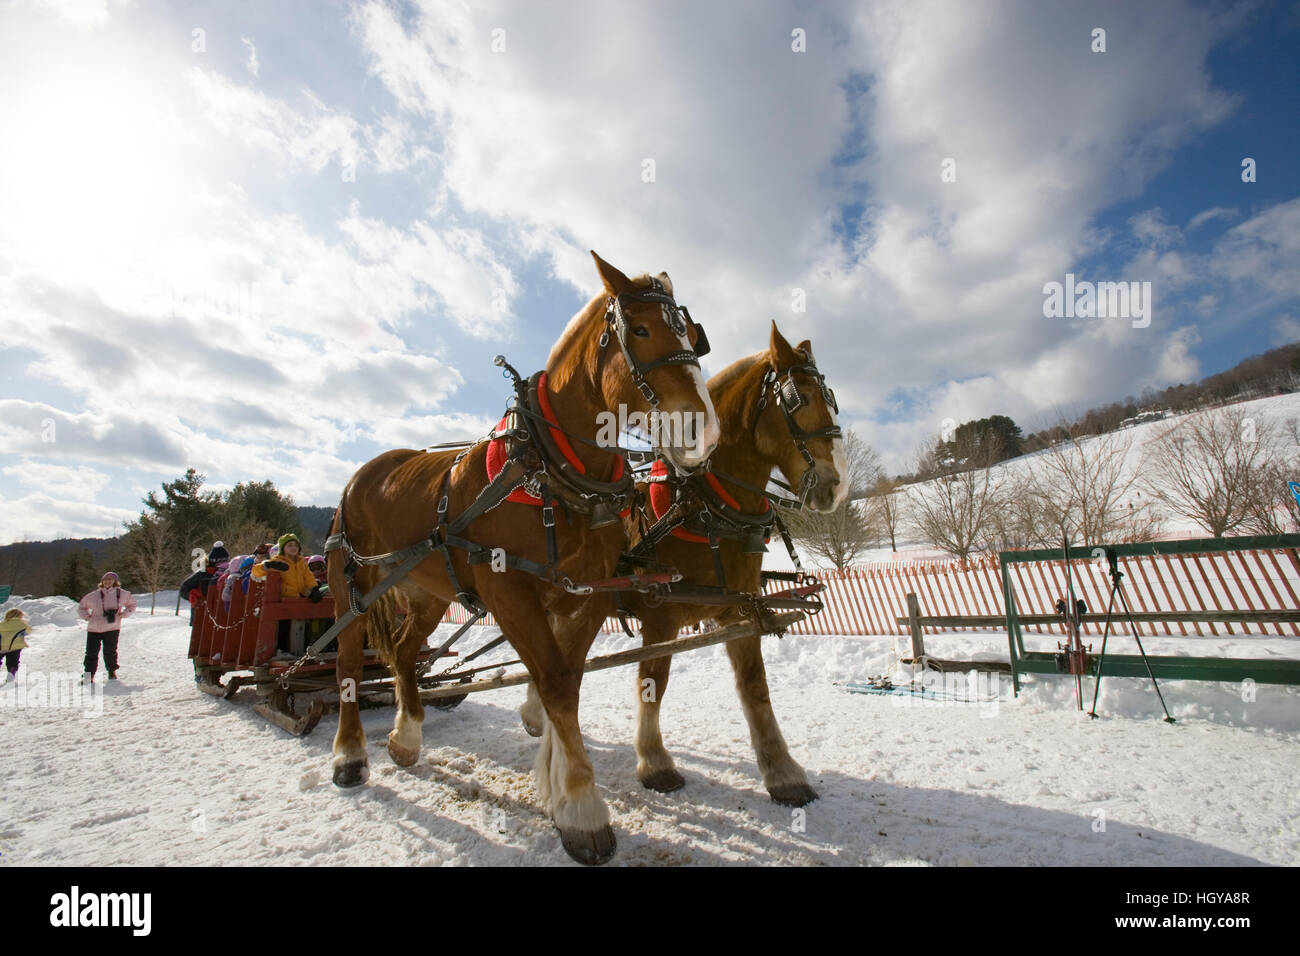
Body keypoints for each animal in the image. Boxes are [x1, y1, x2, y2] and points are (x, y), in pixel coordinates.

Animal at [325, 251, 719, 865]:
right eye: (640, 330)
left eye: (692, 336)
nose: (701, 431)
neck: (553, 470)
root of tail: (364, 473)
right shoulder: (507, 591)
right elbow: (553, 681)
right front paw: (582, 809)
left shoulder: (586, 594)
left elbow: (566, 680)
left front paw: (557, 789)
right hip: (353, 587)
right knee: (346, 663)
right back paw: (349, 756)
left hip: (427, 591)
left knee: (407, 654)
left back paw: (407, 737)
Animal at [521, 322, 845, 805]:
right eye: (797, 399)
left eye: (832, 398)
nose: (838, 485)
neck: (705, 505)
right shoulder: (662, 616)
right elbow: (653, 684)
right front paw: (655, 762)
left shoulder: (742, 609)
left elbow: (755, 687)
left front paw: (782, 771)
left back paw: (535, 714)